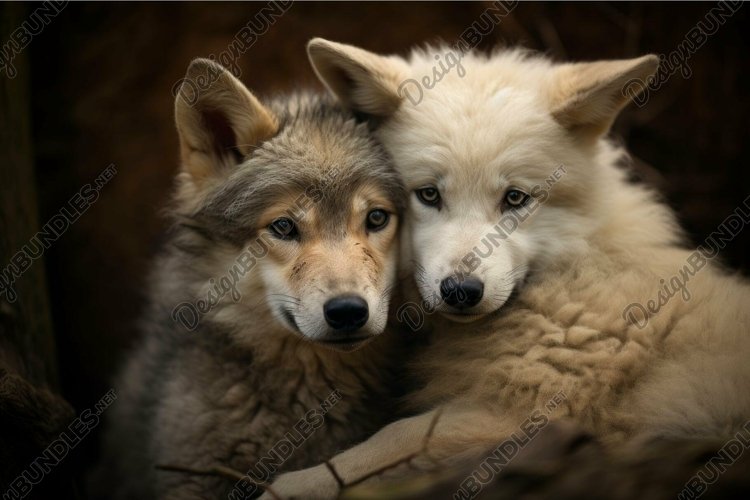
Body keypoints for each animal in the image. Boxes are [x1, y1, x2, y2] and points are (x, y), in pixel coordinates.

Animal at [258, 40, 750, 498]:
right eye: (429, 194)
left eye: (515, 198)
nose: (460, 290)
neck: (577, 270)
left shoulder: (526, 416)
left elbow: (391, 440)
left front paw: (289, 485)